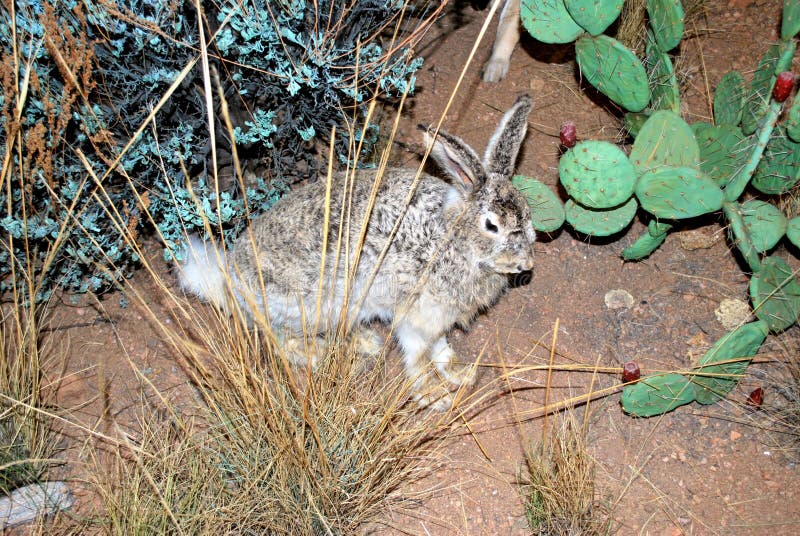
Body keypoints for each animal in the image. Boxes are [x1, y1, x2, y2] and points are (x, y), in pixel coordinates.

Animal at [178, 94, 536, 410]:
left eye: (527, 212)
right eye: (491, 225)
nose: (526, 264)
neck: (451, 240)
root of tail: (231, 281)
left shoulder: (437, 319)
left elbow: (441, 346)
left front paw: (461, 372)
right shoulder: (415, 315)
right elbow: (418, 357)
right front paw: (435, 396)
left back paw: (365, 340)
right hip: (307, 306)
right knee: (279, 339)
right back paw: (321, 351)